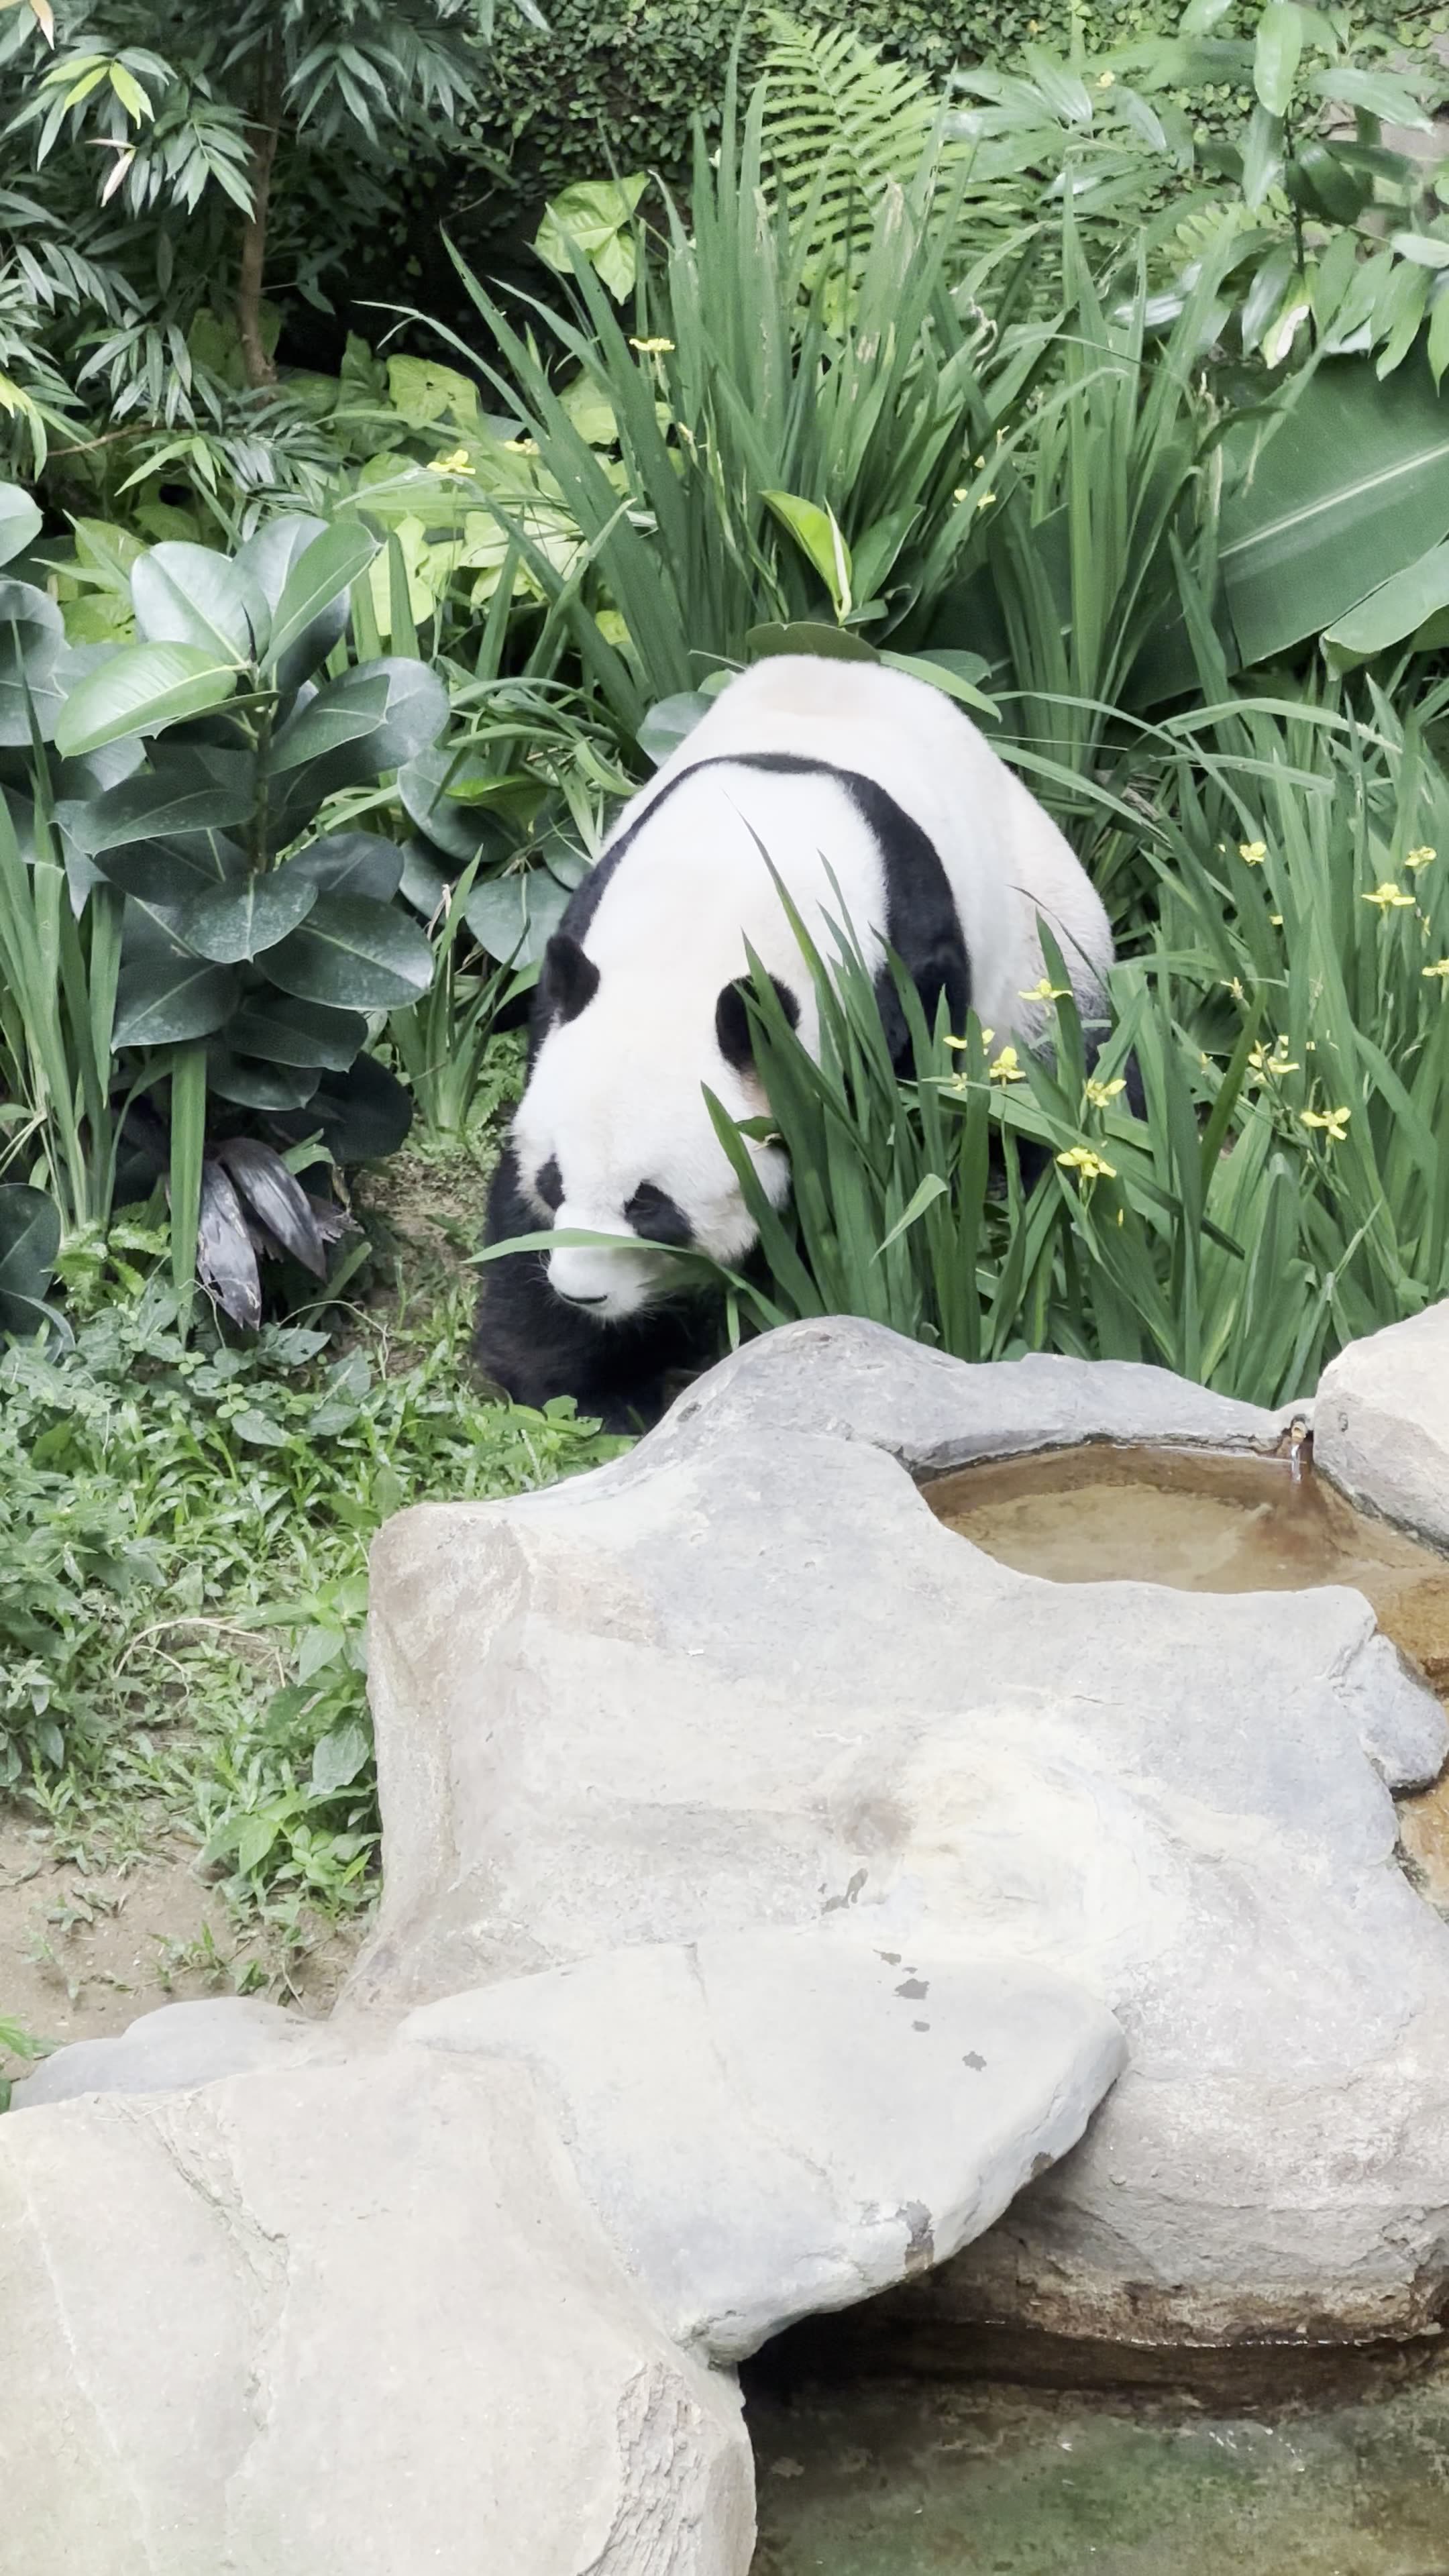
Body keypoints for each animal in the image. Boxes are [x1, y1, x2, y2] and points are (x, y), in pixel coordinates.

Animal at [473, 655, 1114, 1430]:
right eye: (556, 1180)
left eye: (650, 1206)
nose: (581, 1291)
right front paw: (583, 1379)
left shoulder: (902, 986)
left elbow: (860, 1175)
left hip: (1045, 954)